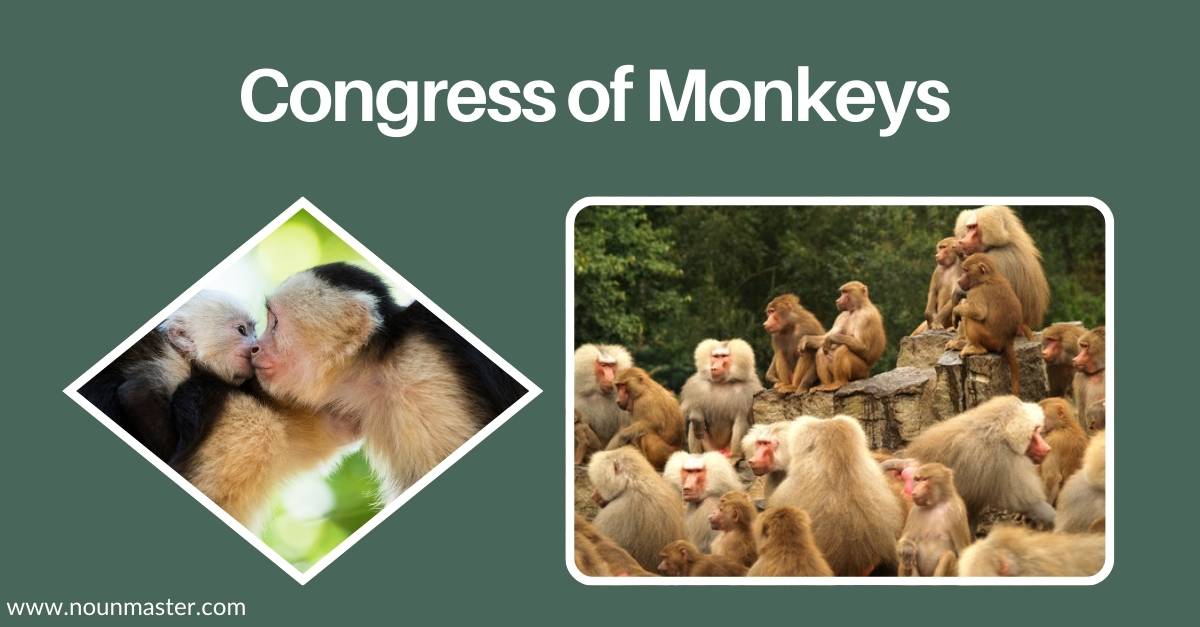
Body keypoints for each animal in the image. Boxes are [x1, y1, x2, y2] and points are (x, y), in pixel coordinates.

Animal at [890, 396, 1055, 529]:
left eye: (1037, 430)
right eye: (1034, 434)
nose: (1047, 448)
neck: (1000, 432)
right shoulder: (1006, 463)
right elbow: (1028, 503)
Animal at [945, 253, 1033, 395]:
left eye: (966, 270)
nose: (959, 281)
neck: (988, 277)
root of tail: (1007, 342)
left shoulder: (977, 290)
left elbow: (978, 312)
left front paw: (955, 311)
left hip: (990, 340)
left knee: (970, 317)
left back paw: (975, 348)